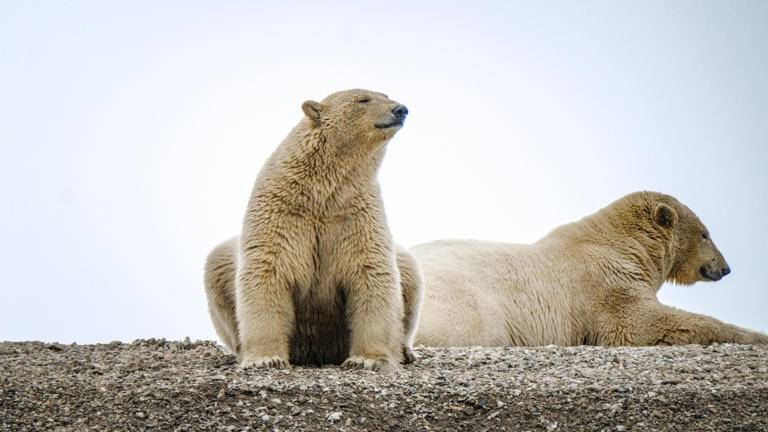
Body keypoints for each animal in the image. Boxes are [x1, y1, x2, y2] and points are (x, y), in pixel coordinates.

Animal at [204, 89, 424, 371]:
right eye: (363, 99)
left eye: (385, 95)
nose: (401, 109)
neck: (322, 194)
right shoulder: (282, 213)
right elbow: (267, 272)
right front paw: (266, 358)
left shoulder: (356, 214)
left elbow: (372, 273)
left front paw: (366, 360)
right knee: (217, 265)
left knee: (409, 271)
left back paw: (405, 351)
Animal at [412, 191, 768, 347]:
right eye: (705, 234)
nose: (725, 268)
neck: (624, 245)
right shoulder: (606, 285)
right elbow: (643, 323)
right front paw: (756, 335)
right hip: (471, 307)